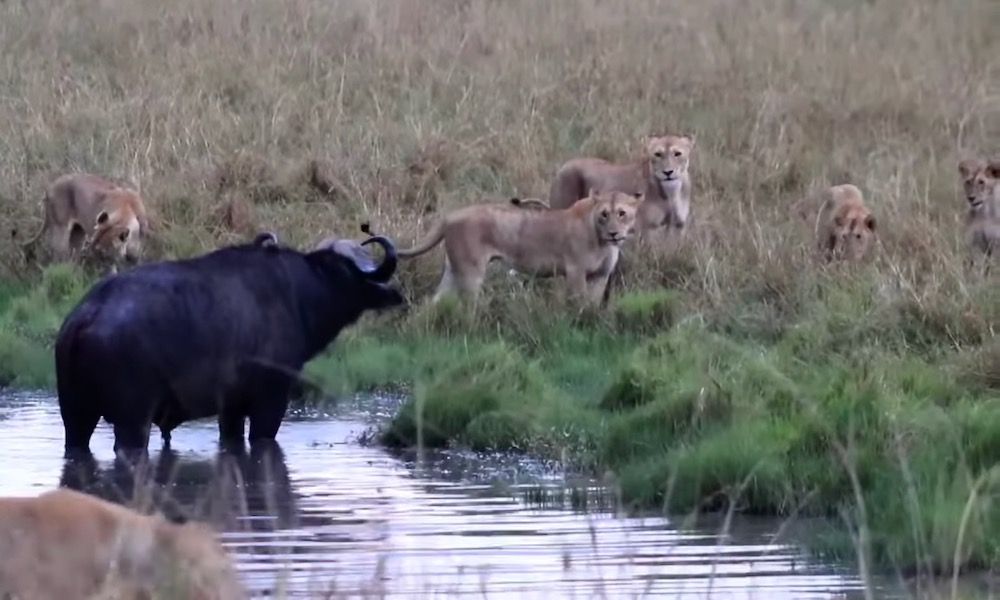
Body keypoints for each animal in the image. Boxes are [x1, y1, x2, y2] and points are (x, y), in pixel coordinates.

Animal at [15, 173, 150, 273]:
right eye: (95, 248)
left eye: (102, 252)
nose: (100, 266)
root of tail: (50, 187)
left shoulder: (134, 256)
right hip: (60, 229)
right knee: (59, 260)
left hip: (78, 233)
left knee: (72, 259)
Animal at [55, 231, 404, 455]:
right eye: (342, 269)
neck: (297, 293)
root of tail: (87, 315)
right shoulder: (271, 400)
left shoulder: (232, 409)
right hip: (132, 421)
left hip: (75, 415)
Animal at [396, 190, 642, 305]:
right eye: (604, 214)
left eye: (622, 213)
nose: (614, 233)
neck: (603, 242)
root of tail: (450, 215)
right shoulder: (575, 271)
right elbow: (577, 303)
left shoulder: (600, 276)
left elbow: (592, 304)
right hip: (469, 271)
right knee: (466, 306)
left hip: (453, 269)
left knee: (435, 302)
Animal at [547, 134, 694, 235]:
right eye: (658, 154)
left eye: (677, 154)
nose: (668, 172)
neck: (672, 191)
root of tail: (564, 166)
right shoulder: (646, 228)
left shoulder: (677, 227)